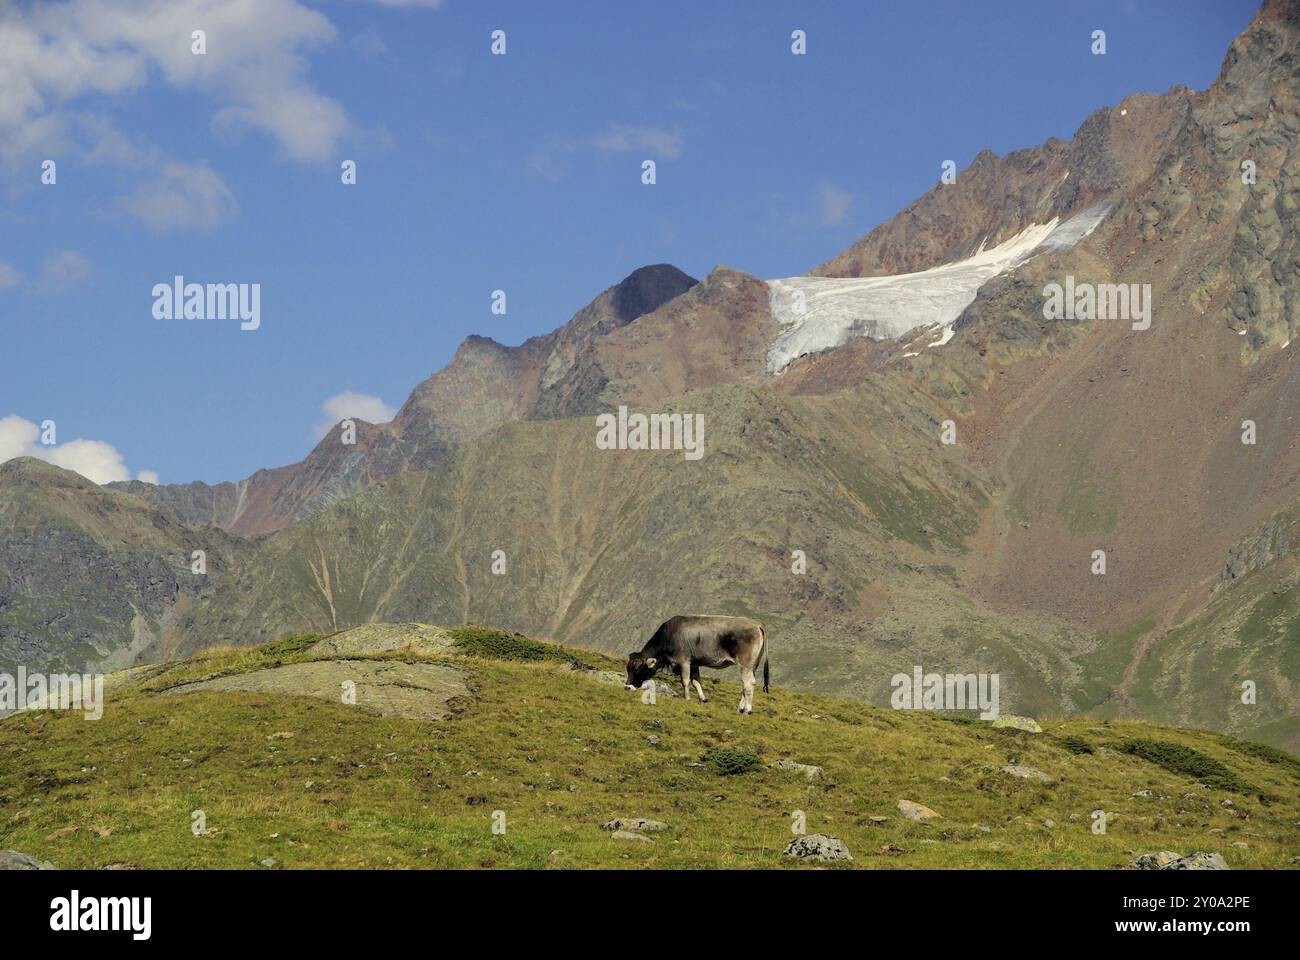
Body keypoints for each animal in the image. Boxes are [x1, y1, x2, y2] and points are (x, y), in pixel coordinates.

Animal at [625, 615, 770, 714]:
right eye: (628, 668)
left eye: (638, 669)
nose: (627, 687)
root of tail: (756, 623)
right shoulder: (694, 663)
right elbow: (696, 682)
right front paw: (703, 699)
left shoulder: (684, 661)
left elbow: (685, 681)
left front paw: (687, 698)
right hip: (753, 665)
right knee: (746, 684)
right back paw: (741, 708)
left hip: (745, 664)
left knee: (749, 683)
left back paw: (747, 709)